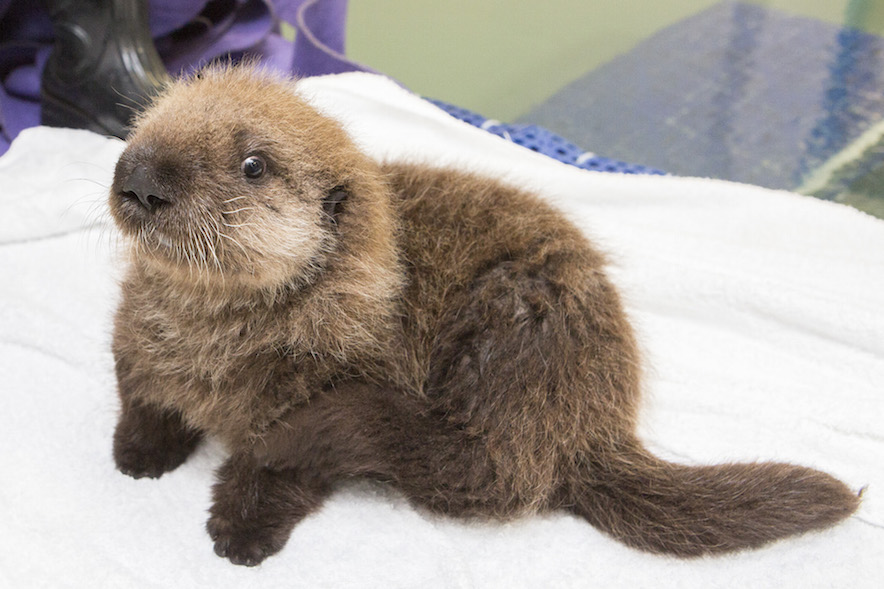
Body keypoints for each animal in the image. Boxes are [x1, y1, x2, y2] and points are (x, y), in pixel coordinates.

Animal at [109, 65, 860, 567]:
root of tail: (600, 422)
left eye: (254, 164)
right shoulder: (134, 336)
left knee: (489, 470)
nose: (140, 178)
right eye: (146, 123)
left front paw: (239, 528)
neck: (211, 330)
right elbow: (138, 389)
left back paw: (337, 424)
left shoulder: (326, 375)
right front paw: (140, 451)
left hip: (515, 331)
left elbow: (276, 468)